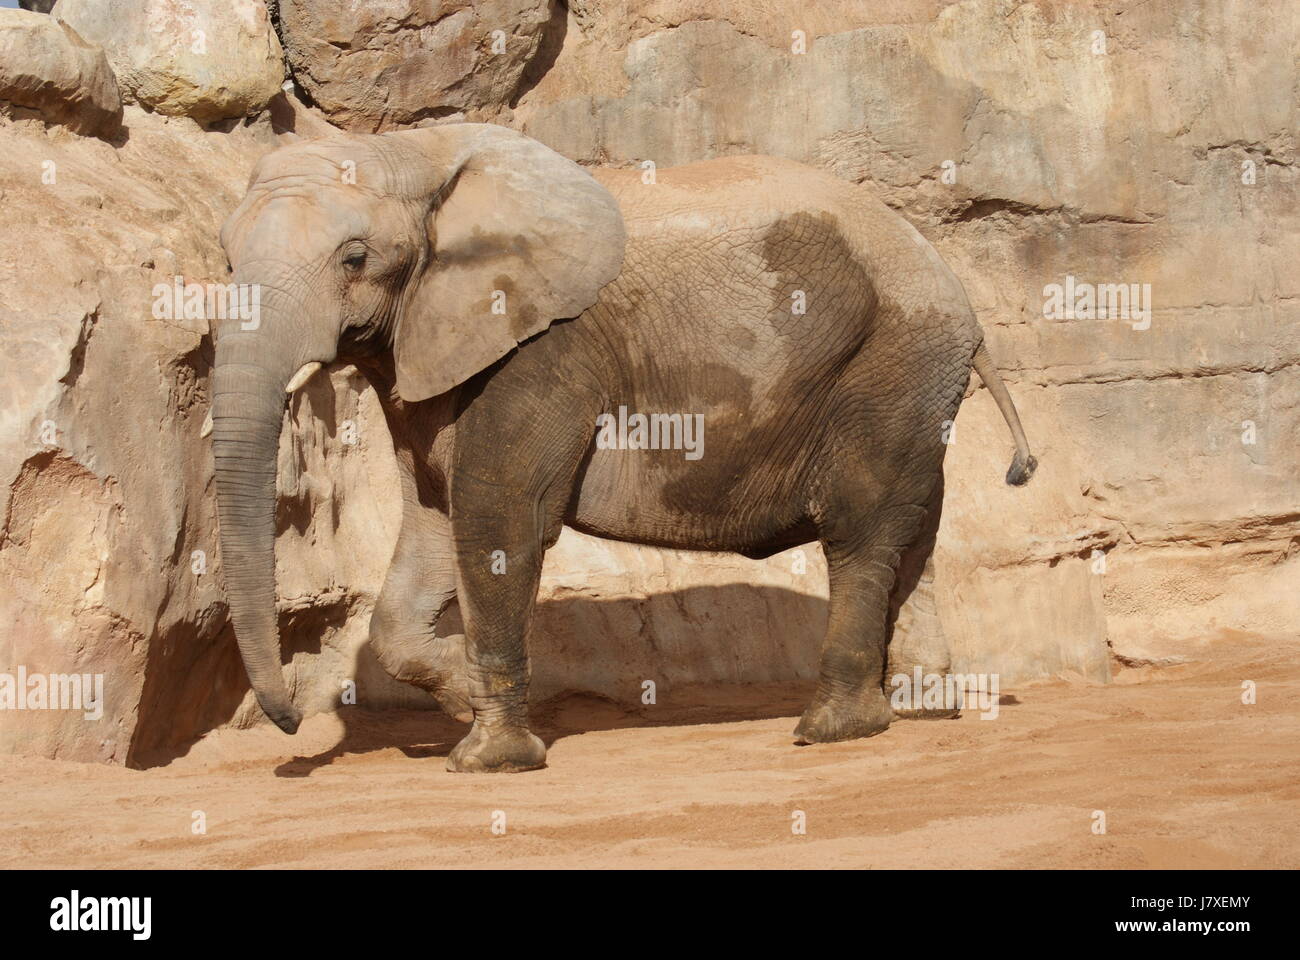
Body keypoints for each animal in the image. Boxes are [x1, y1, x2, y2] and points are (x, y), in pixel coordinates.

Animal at [209, 122, 1035, 773]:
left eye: (354, 258)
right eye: (226, 261)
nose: (289, 724)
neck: (417, 151)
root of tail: (959, 294)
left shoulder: (542, 348)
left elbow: (498, 519)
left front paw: (489, 759)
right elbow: (434, 522)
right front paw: (461, 698)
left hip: (891, 360)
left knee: (861, 531)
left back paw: (834, 727)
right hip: (912, 380)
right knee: (912, 531)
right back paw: (917, 707)